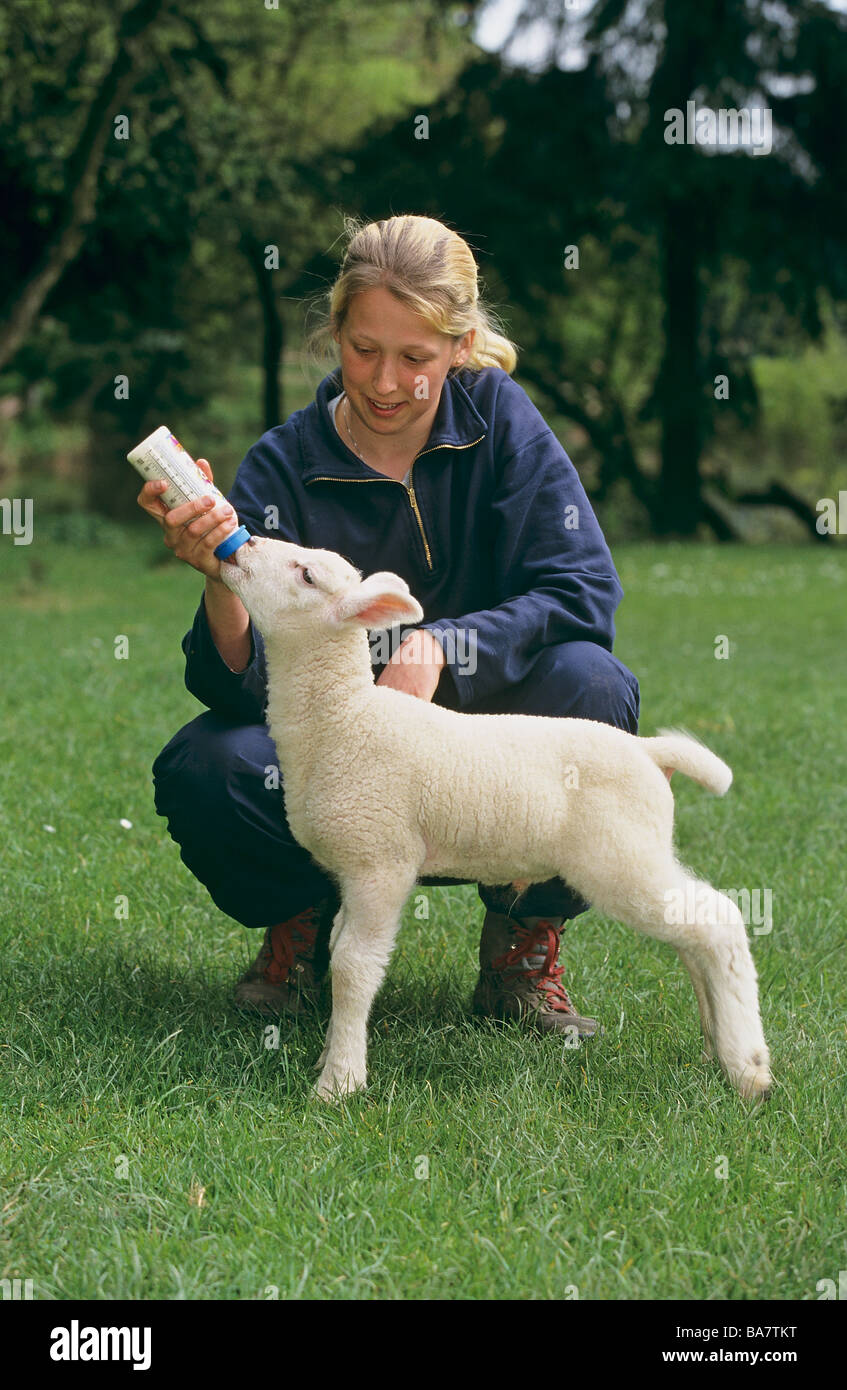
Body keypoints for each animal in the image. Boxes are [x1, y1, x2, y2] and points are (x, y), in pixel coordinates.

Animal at [220, 536, 772, 1104]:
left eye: (306, 574)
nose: (244, 543)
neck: (343, 719)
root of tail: (648, 752)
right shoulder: (354, 867)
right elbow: (335, 949)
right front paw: (331, 1057)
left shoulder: (382, 862)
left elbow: (354, 965)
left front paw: (339, 1083)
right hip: (639, 850)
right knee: (693, 937)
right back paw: (715, 1048)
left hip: (620, 854)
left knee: (719, 922)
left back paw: (748, 1069)